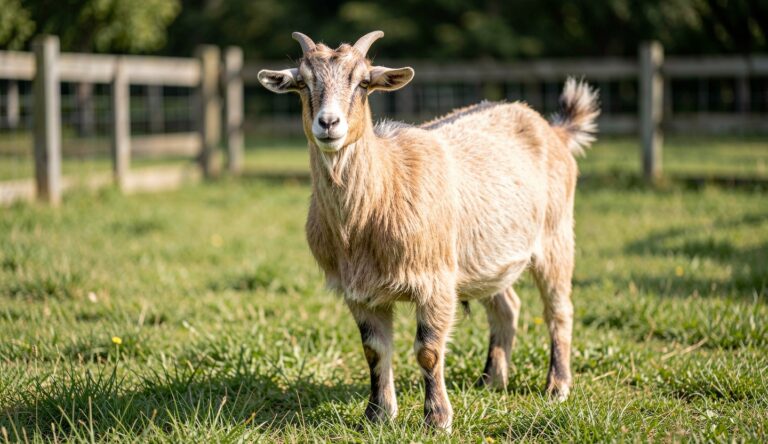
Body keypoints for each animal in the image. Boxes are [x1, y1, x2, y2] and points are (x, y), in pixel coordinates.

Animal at [257, 31, 599, 431]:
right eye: (303, 83)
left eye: (363, 83)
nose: (328, 123)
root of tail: (555, 131)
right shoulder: (360, 292)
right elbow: (374, 351)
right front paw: (377, 416)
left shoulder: (435, 280)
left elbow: (428, 351)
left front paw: (437, 419)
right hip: (484, 258)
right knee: (507, 307)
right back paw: (491, 381)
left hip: (555, 236)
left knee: (559, 310)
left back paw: (557, 386)